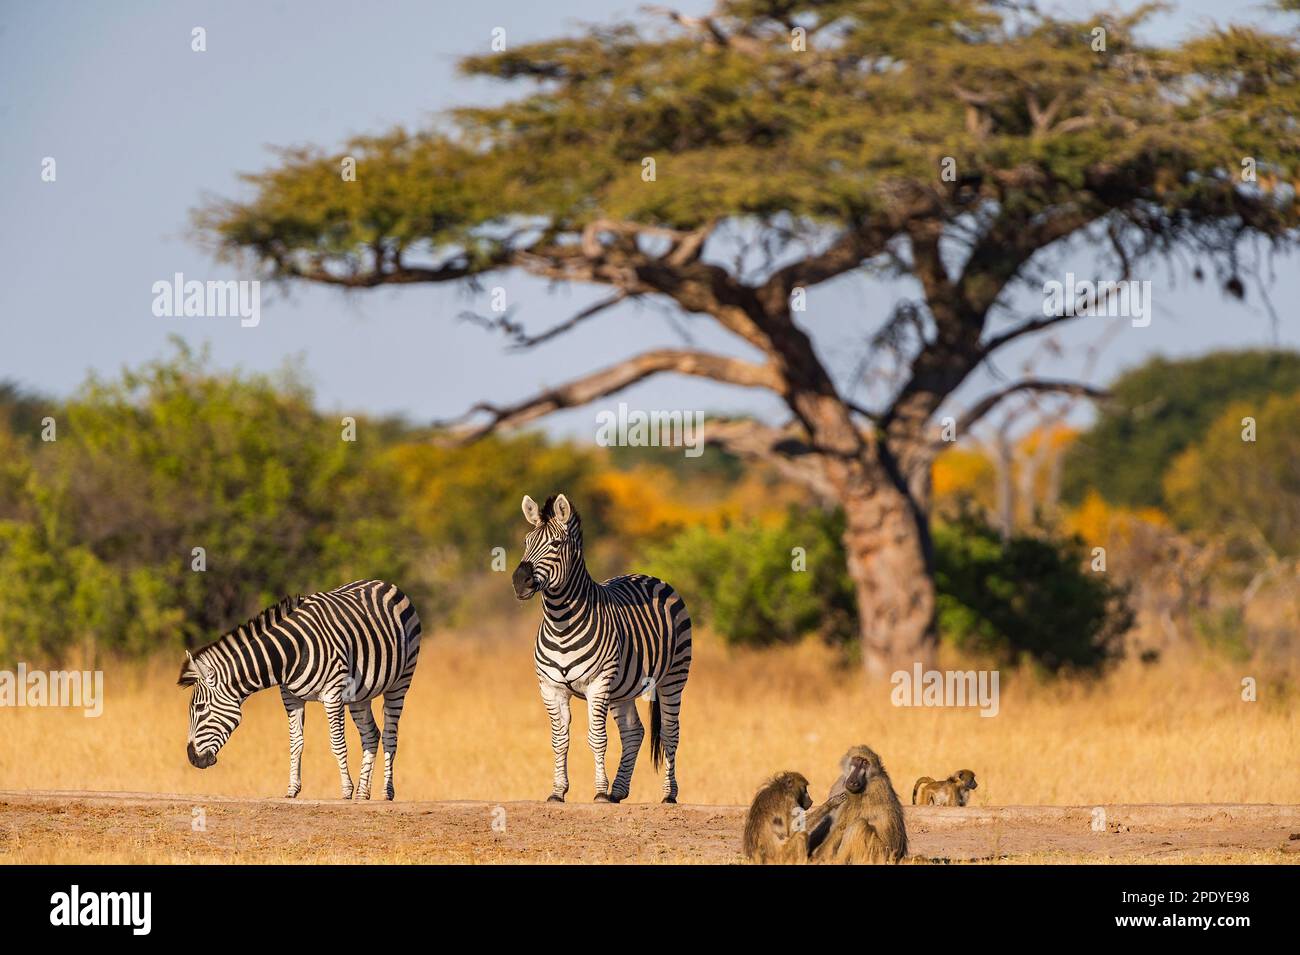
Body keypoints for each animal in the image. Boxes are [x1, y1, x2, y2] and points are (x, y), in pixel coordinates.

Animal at [177, 579, 422, 800]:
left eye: (200, 708)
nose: (192, 758)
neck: (290, 654)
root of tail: (386, 583)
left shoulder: (333, 694)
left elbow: (337, 743)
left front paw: (346, 790)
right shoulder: (290, 697)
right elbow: (296, 742)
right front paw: (292, 789)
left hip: (401, 681)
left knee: (390, 735)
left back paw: (386, 792)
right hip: (360, 694)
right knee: (371, 735)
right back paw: (363, 793)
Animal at [513, 493, 692, 803]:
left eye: (555, 544)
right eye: (526, 542)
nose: (519, 581)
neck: (561, 622)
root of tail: (650, 576)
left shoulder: (597, 683)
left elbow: (597, 737)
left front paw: (599, 792)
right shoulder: (550, 687)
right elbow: (559, 739)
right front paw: (558, 791)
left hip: (674, 677)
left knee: (670, 732)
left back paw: (668, 794)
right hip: (623, 688)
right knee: (634, 732)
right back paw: (618, 791)